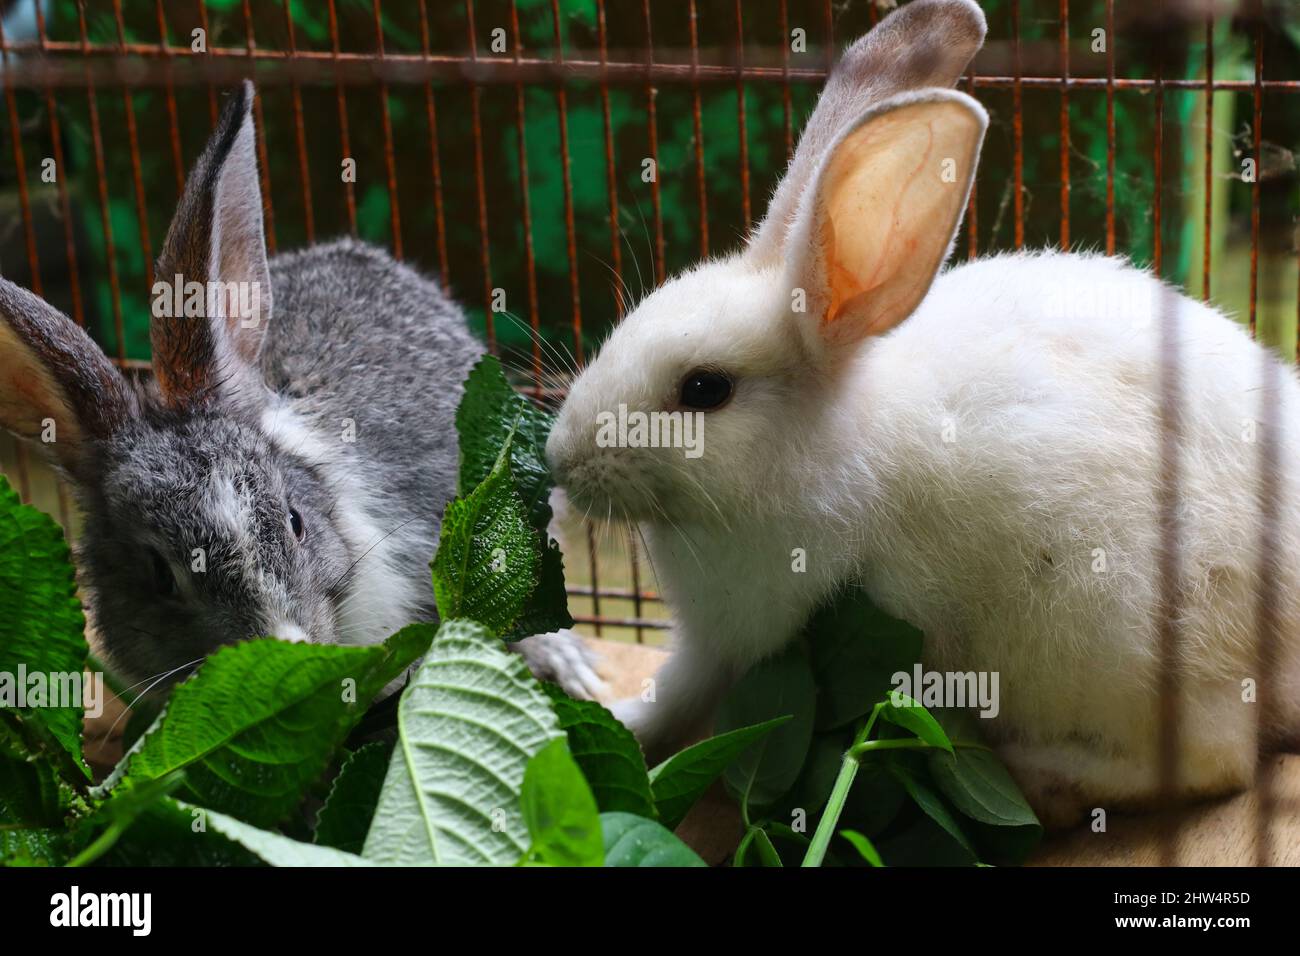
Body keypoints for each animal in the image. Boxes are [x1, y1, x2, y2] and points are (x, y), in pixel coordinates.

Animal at [545, 0, 1300, 828]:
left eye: (705, 390)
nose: (560, 461)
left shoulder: (735, 639)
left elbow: (682, 701)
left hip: (1122, 639)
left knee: (1213, 763)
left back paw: (1041, 777)